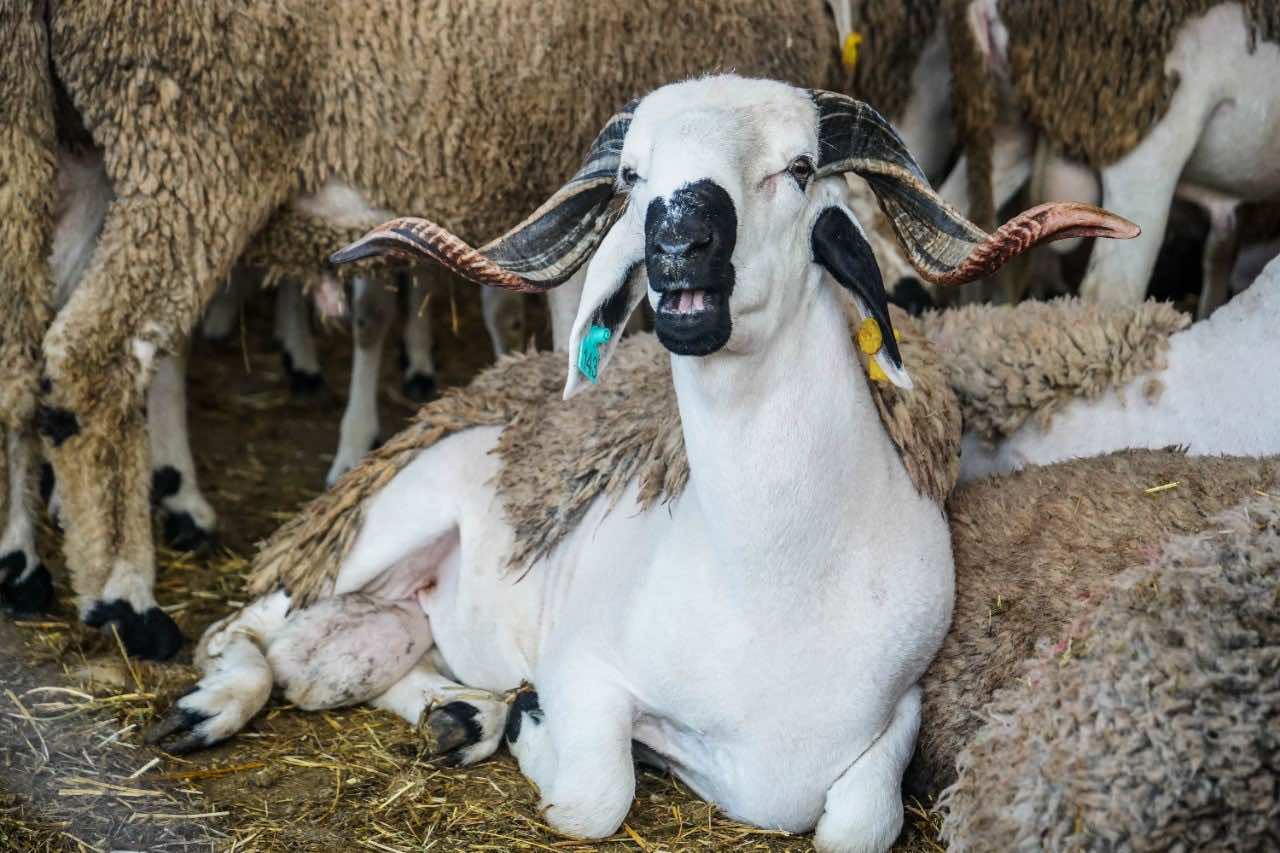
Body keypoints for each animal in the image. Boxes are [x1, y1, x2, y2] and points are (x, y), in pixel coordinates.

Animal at [7, 0, 853, 659]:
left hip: (74, 149)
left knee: (26, 349)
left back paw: (36, 560)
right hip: (190, 146)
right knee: (94, 354)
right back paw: (124, 598)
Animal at [144, 75, 1132, 852]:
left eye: (799, 167)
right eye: (632, 176)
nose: (678, 247)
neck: (769, 584)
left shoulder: (904, 709)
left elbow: (858, 822)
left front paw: (501, 715)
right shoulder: (584, 667)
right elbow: (596, 795)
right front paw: (534, 726)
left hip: (397, 607)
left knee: (343, 657)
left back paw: (463, 715)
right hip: (378, 529)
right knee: (246, 624)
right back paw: (214, 706)